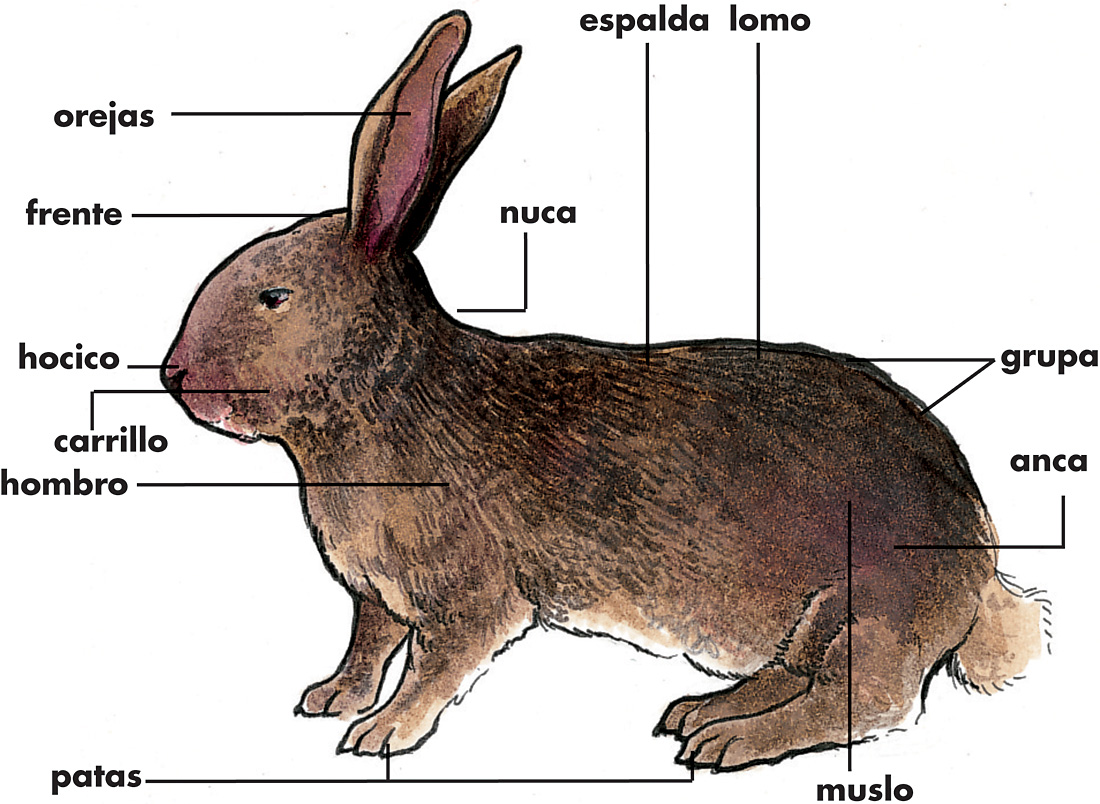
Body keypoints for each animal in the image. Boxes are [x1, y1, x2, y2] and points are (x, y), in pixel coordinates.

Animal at [162, 10, 1045, 771]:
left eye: (273, 296)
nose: (173, 376)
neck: (381, 396)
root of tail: (979, 560)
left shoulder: (468, 595)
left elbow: (433, 663)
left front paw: (381, 734)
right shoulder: (374, 594)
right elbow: (367, 645)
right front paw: (329, 699)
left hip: (871, 604)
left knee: (863, 700)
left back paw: (729, 742)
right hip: (813, 623)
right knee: (804, 677)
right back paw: (701, 712)